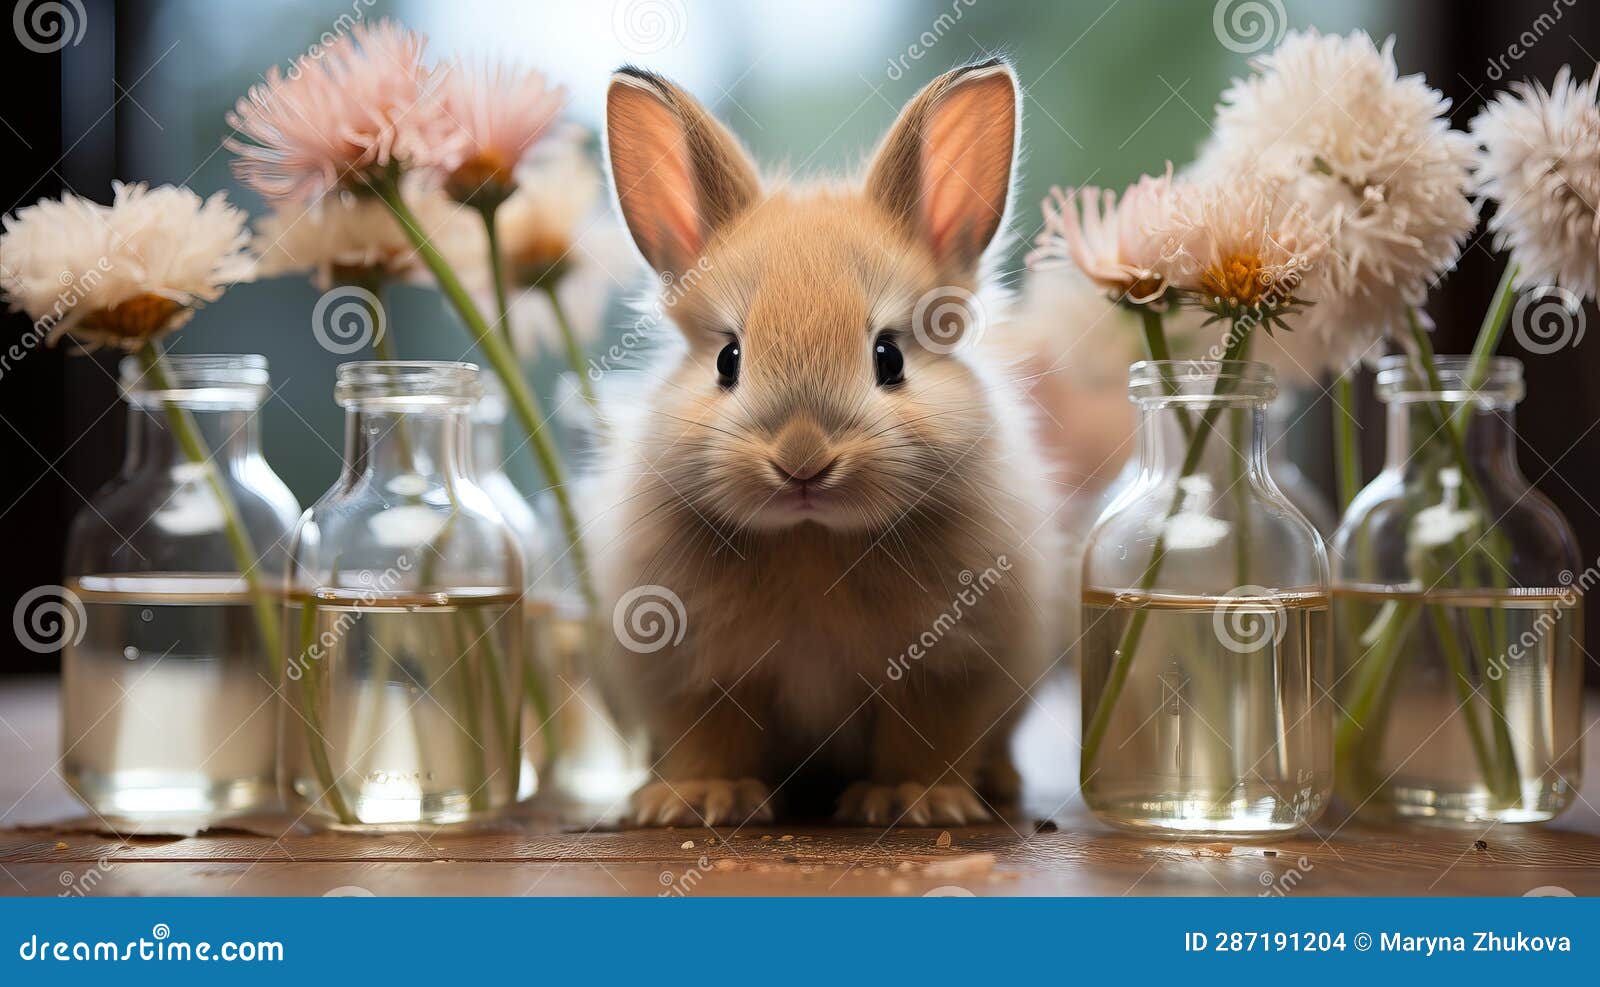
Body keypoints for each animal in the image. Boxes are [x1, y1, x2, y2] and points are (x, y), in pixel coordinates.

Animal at [593, 58, 1057, 827]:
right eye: (727, 360)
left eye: (889, 357)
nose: (802, 461)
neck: (810, 541)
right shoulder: (694, 674)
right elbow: (709, 737)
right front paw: (704, 800)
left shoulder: (946, 667)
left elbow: (922, 737)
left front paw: (913, 802)